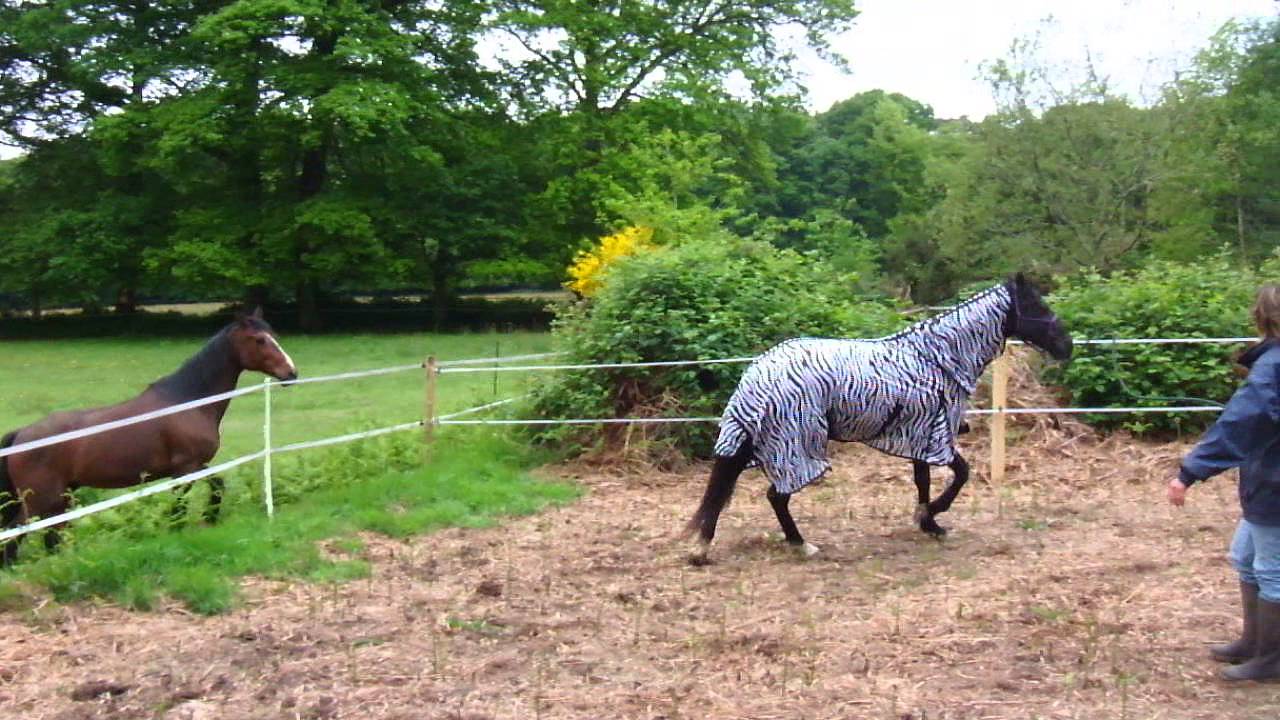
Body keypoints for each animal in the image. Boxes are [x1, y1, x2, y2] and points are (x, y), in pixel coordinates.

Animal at [686, 274, 1073, 561]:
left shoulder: (919, 435)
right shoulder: (937, 435)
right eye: (1036, 305)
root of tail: (757, 373)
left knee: (729, 487)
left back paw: (702, 549)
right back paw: (802, 545)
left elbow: (923, 480)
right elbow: (960, 474)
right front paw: (933, 517)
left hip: (753, 440)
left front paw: (927, 521)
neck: (936, 358)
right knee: (776, 495)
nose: (1066, 346)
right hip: (795, 446)